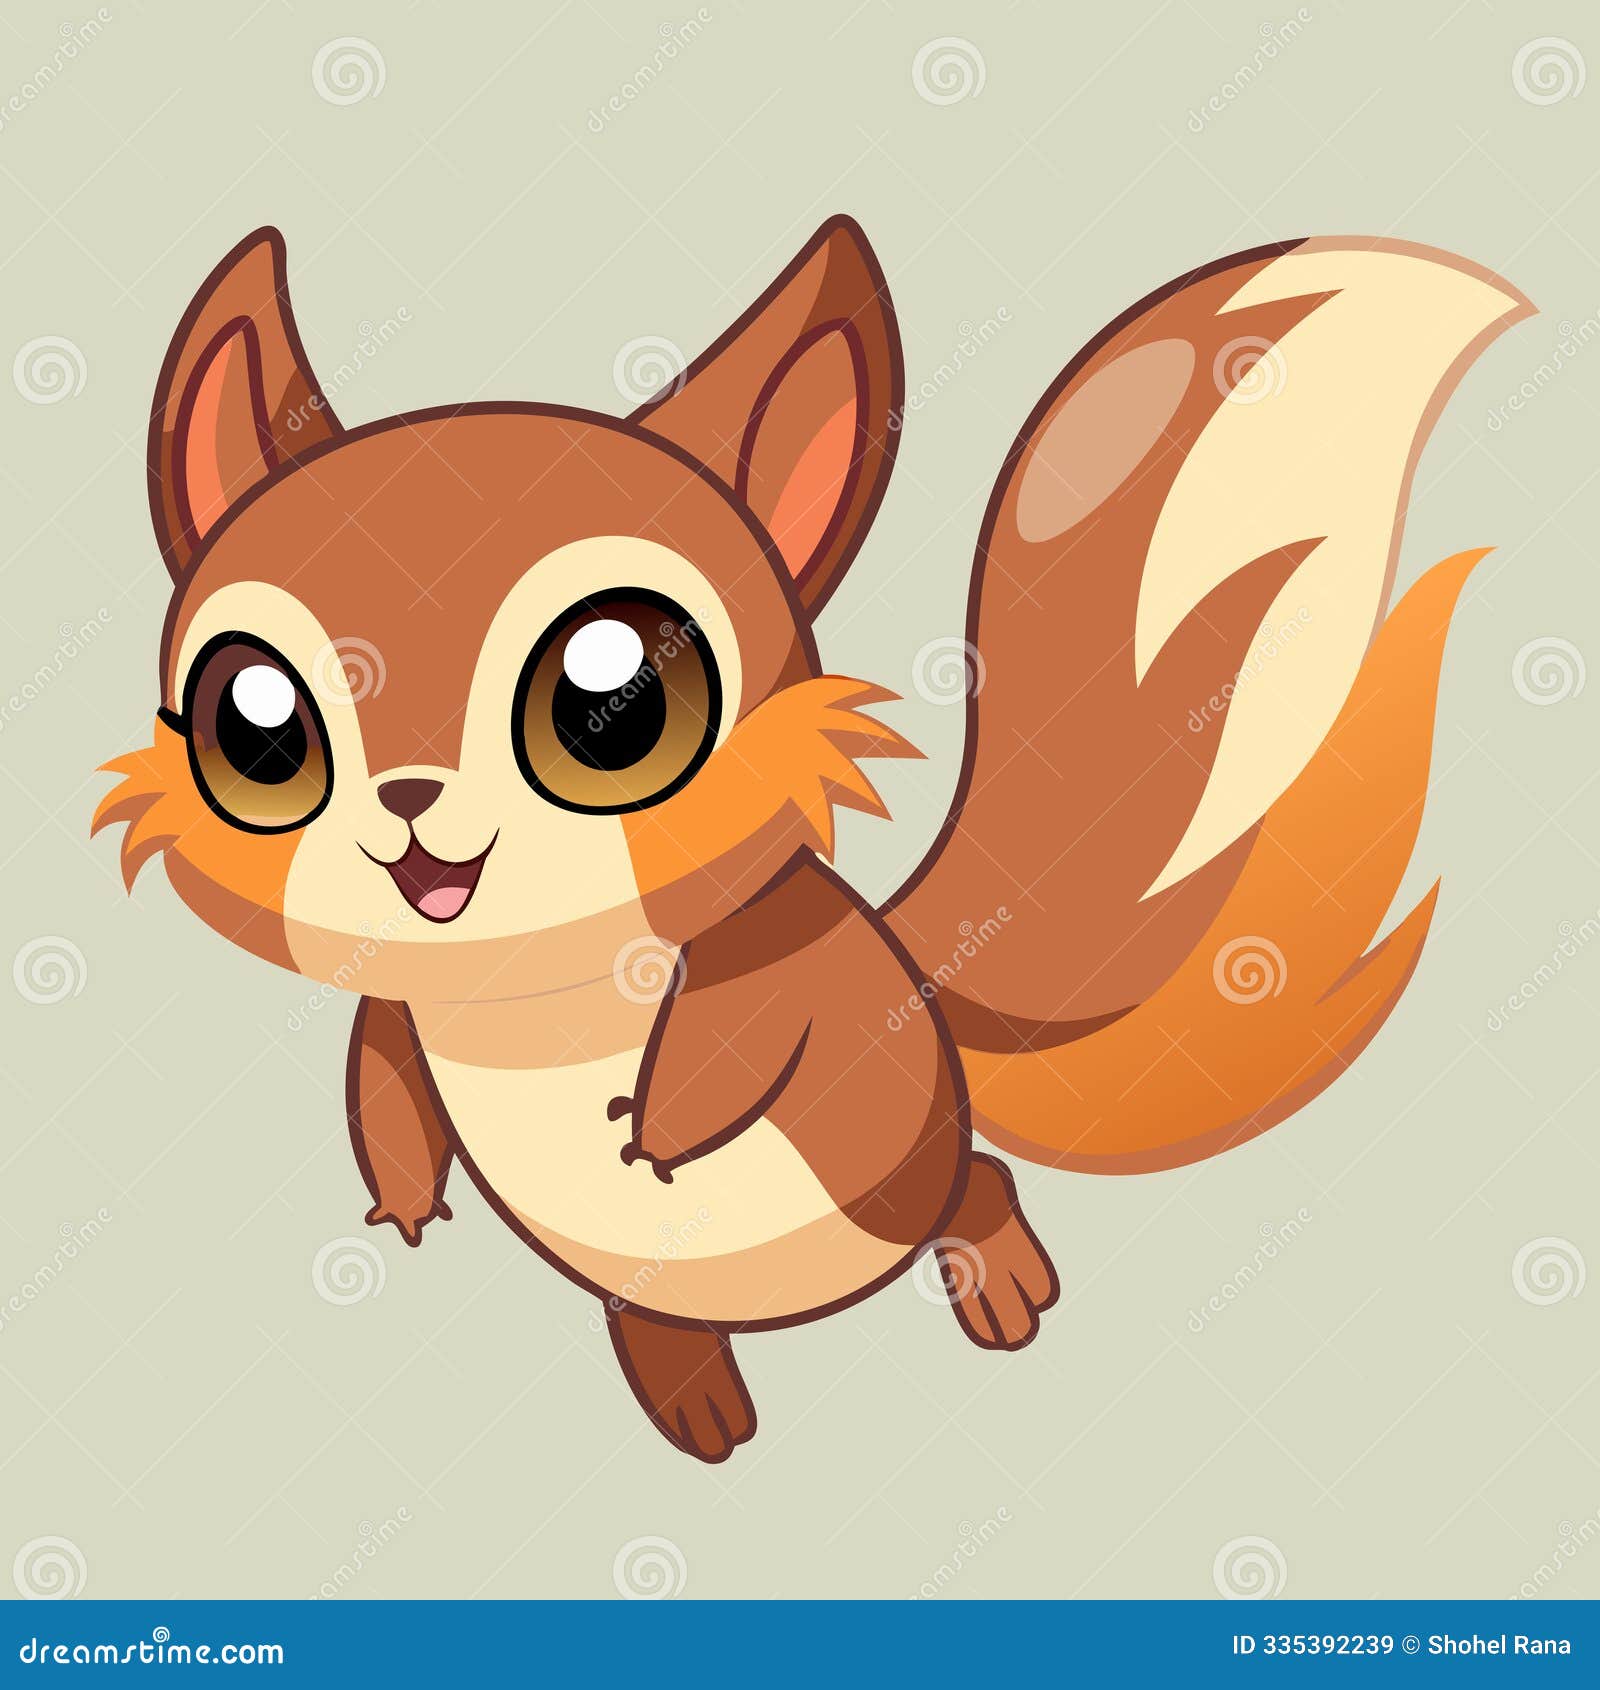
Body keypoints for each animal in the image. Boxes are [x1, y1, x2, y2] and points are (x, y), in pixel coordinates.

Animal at [95, 220, 1530, 1462]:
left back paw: (999, 1278)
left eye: (617, 699)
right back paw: (692, 1395)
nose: (404, 798)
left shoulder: (792, 955)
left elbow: (757, 1022)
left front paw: (661, 1123)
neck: (529, 988)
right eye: (254, 724)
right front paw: (401, 1186)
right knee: (664, 1307)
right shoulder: (407, 995)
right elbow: (382, 1047)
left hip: (906, 1179)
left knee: (979, 1182)